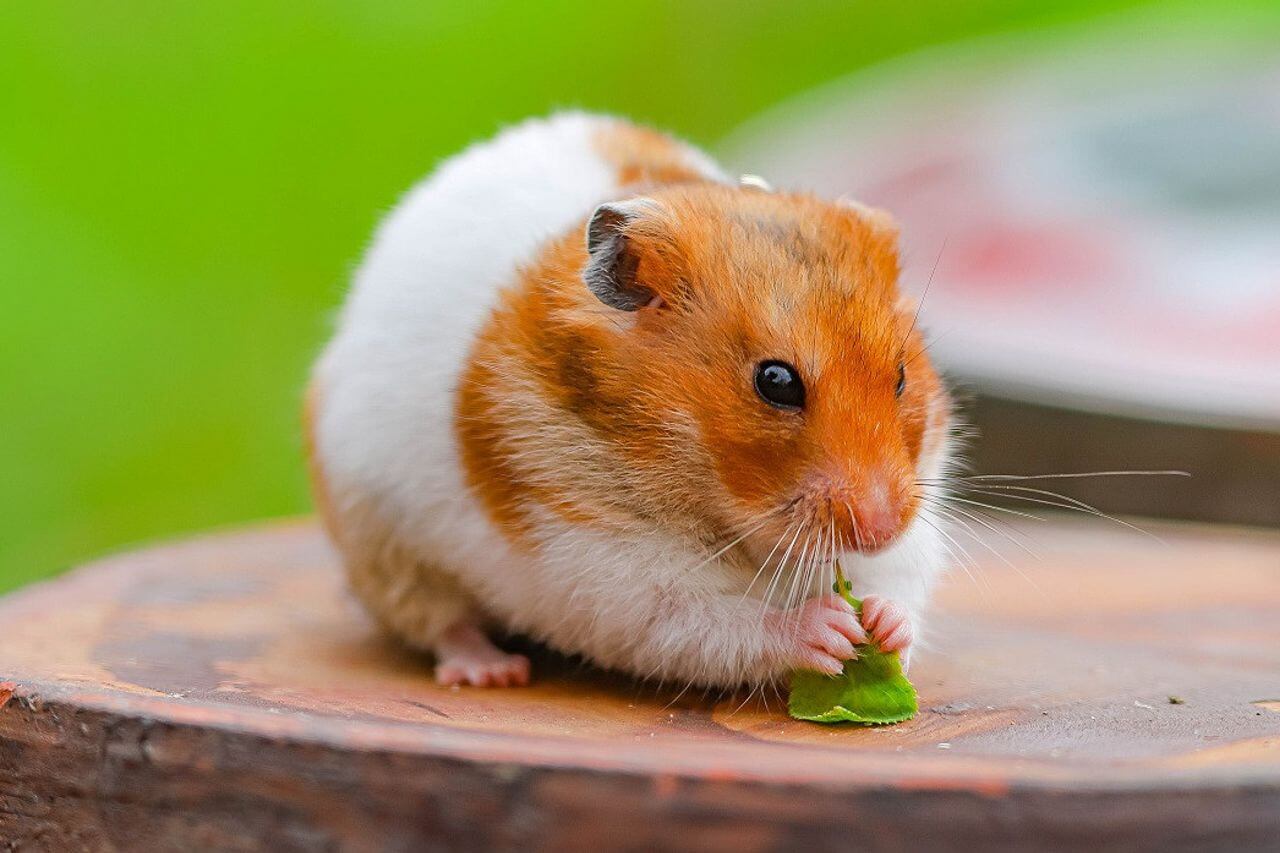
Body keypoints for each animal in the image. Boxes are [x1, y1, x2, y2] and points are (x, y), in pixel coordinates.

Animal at [306, 113, 954, 689]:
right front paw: (830, 631)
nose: (882, 527)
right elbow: (709, 621)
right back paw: (490, 671)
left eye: (901, 376)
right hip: (383, 544)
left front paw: (881, 627)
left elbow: (896, 580)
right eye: (776, 382)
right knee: (439, 623)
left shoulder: (914, 510)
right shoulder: (598, 562)